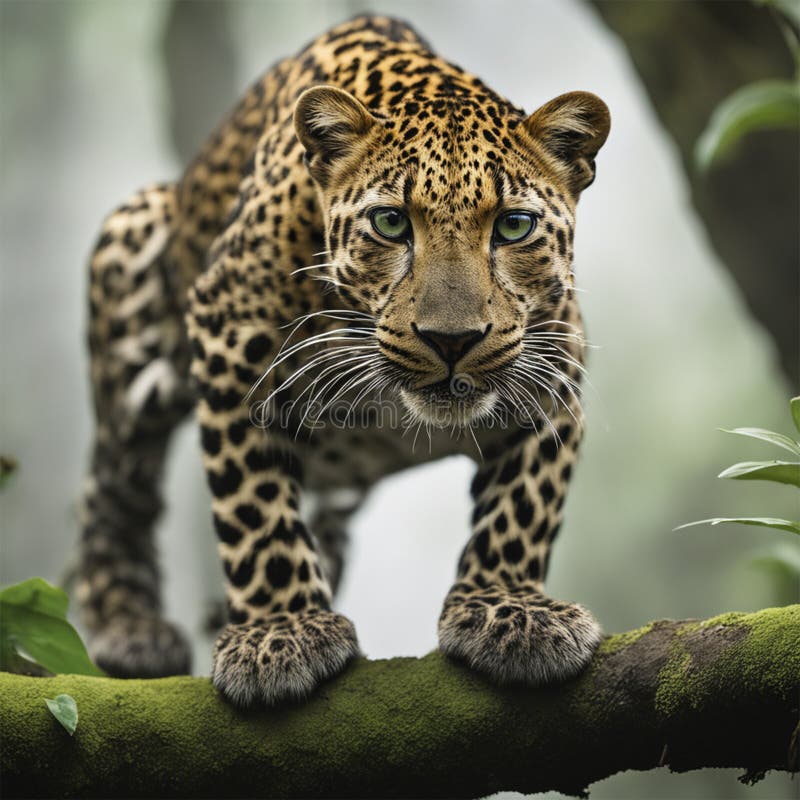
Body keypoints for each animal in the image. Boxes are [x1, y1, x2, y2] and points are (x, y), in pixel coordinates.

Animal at [77, 14, 610, 705]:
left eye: (514, 227)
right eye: (390, 223)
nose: (452, 340)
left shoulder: (552, 366)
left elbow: (526, 502)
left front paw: (507, 607)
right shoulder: (228, 333)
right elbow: (255, 503)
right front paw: (282, 631)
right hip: (131, 269)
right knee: (113, 488)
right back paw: (129, 625)